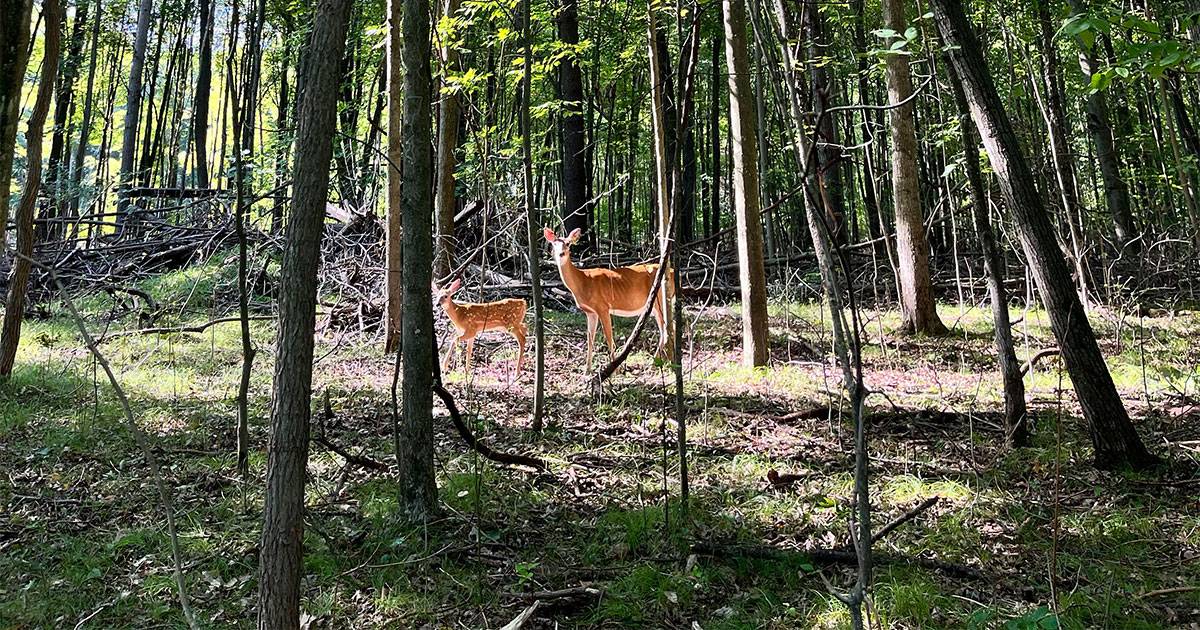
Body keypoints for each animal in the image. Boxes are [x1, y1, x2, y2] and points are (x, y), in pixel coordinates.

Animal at [544, 227, 673, 375]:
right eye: (554, 244)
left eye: (568, 243)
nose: (561, 253)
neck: (583, 281)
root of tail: (674, 272)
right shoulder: (590, 312)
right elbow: (590, 339)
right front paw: (586, 370)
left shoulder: (603, 307)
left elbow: (609, 337)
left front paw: (614, 370)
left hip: (659, 300)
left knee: (666, 330)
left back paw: (652, 364)